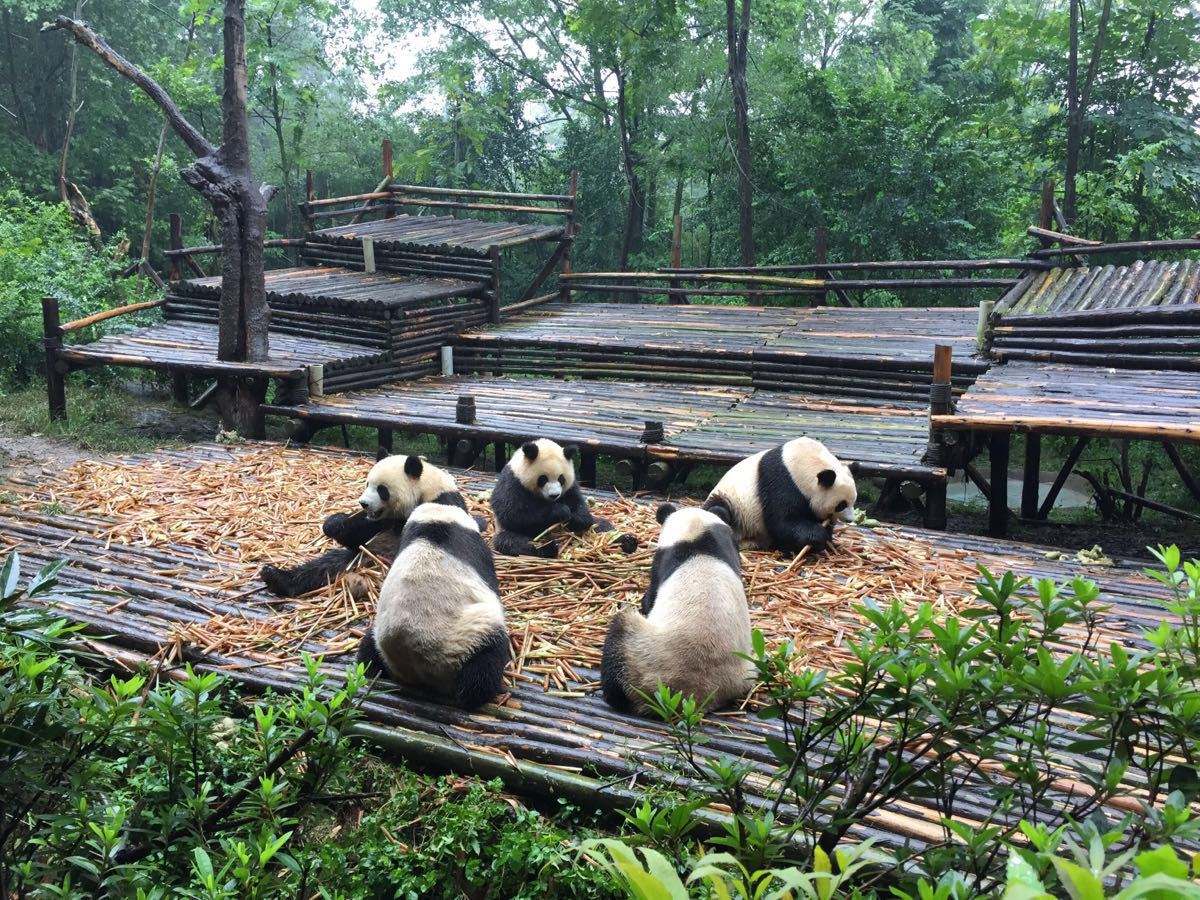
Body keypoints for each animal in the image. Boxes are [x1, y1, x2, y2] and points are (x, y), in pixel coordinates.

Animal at [260, 454, 466, 598]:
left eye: (382, 490)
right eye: (367, 484)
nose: (364, 503)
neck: (425, 487)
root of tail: (370, 562)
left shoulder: (441, 503)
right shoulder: (380, 522)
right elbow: (355, 533)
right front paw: (333, 523)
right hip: (360, 555)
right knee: (324, 565)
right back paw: (276, 577)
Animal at [356, 498, 510, 709]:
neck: (436, 522)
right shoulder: (477, 549)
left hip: (380, 628)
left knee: (367, 651)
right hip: (468, 637)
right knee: (483, 668)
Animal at [490, 438, 635, 558]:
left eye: (561, 478)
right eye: (543, 479)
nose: (554, 495)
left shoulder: (570, 487)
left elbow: (578, 503)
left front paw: (577, 518)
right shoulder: (513, 482)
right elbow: (513, 513)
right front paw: (561, 511)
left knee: (603, 526)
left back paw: (628, 541)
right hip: (507, 531)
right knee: (512, 542)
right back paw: (547, 548)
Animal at [600, 502, 754, 714]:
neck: (698, 540)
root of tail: (698, 695)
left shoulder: (665, 559)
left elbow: (651, 597)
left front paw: (643, 602)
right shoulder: (727, 544)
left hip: (643, 656)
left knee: (620, 634)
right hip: (746, 670)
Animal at [703, 437, 856, 556]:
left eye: (853, 501)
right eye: (841, 505)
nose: (850, 520)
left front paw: (827, 542)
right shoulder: (781, 483)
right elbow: (783, 521)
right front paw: (816, 537)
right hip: (733, 504)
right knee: (719, 510)